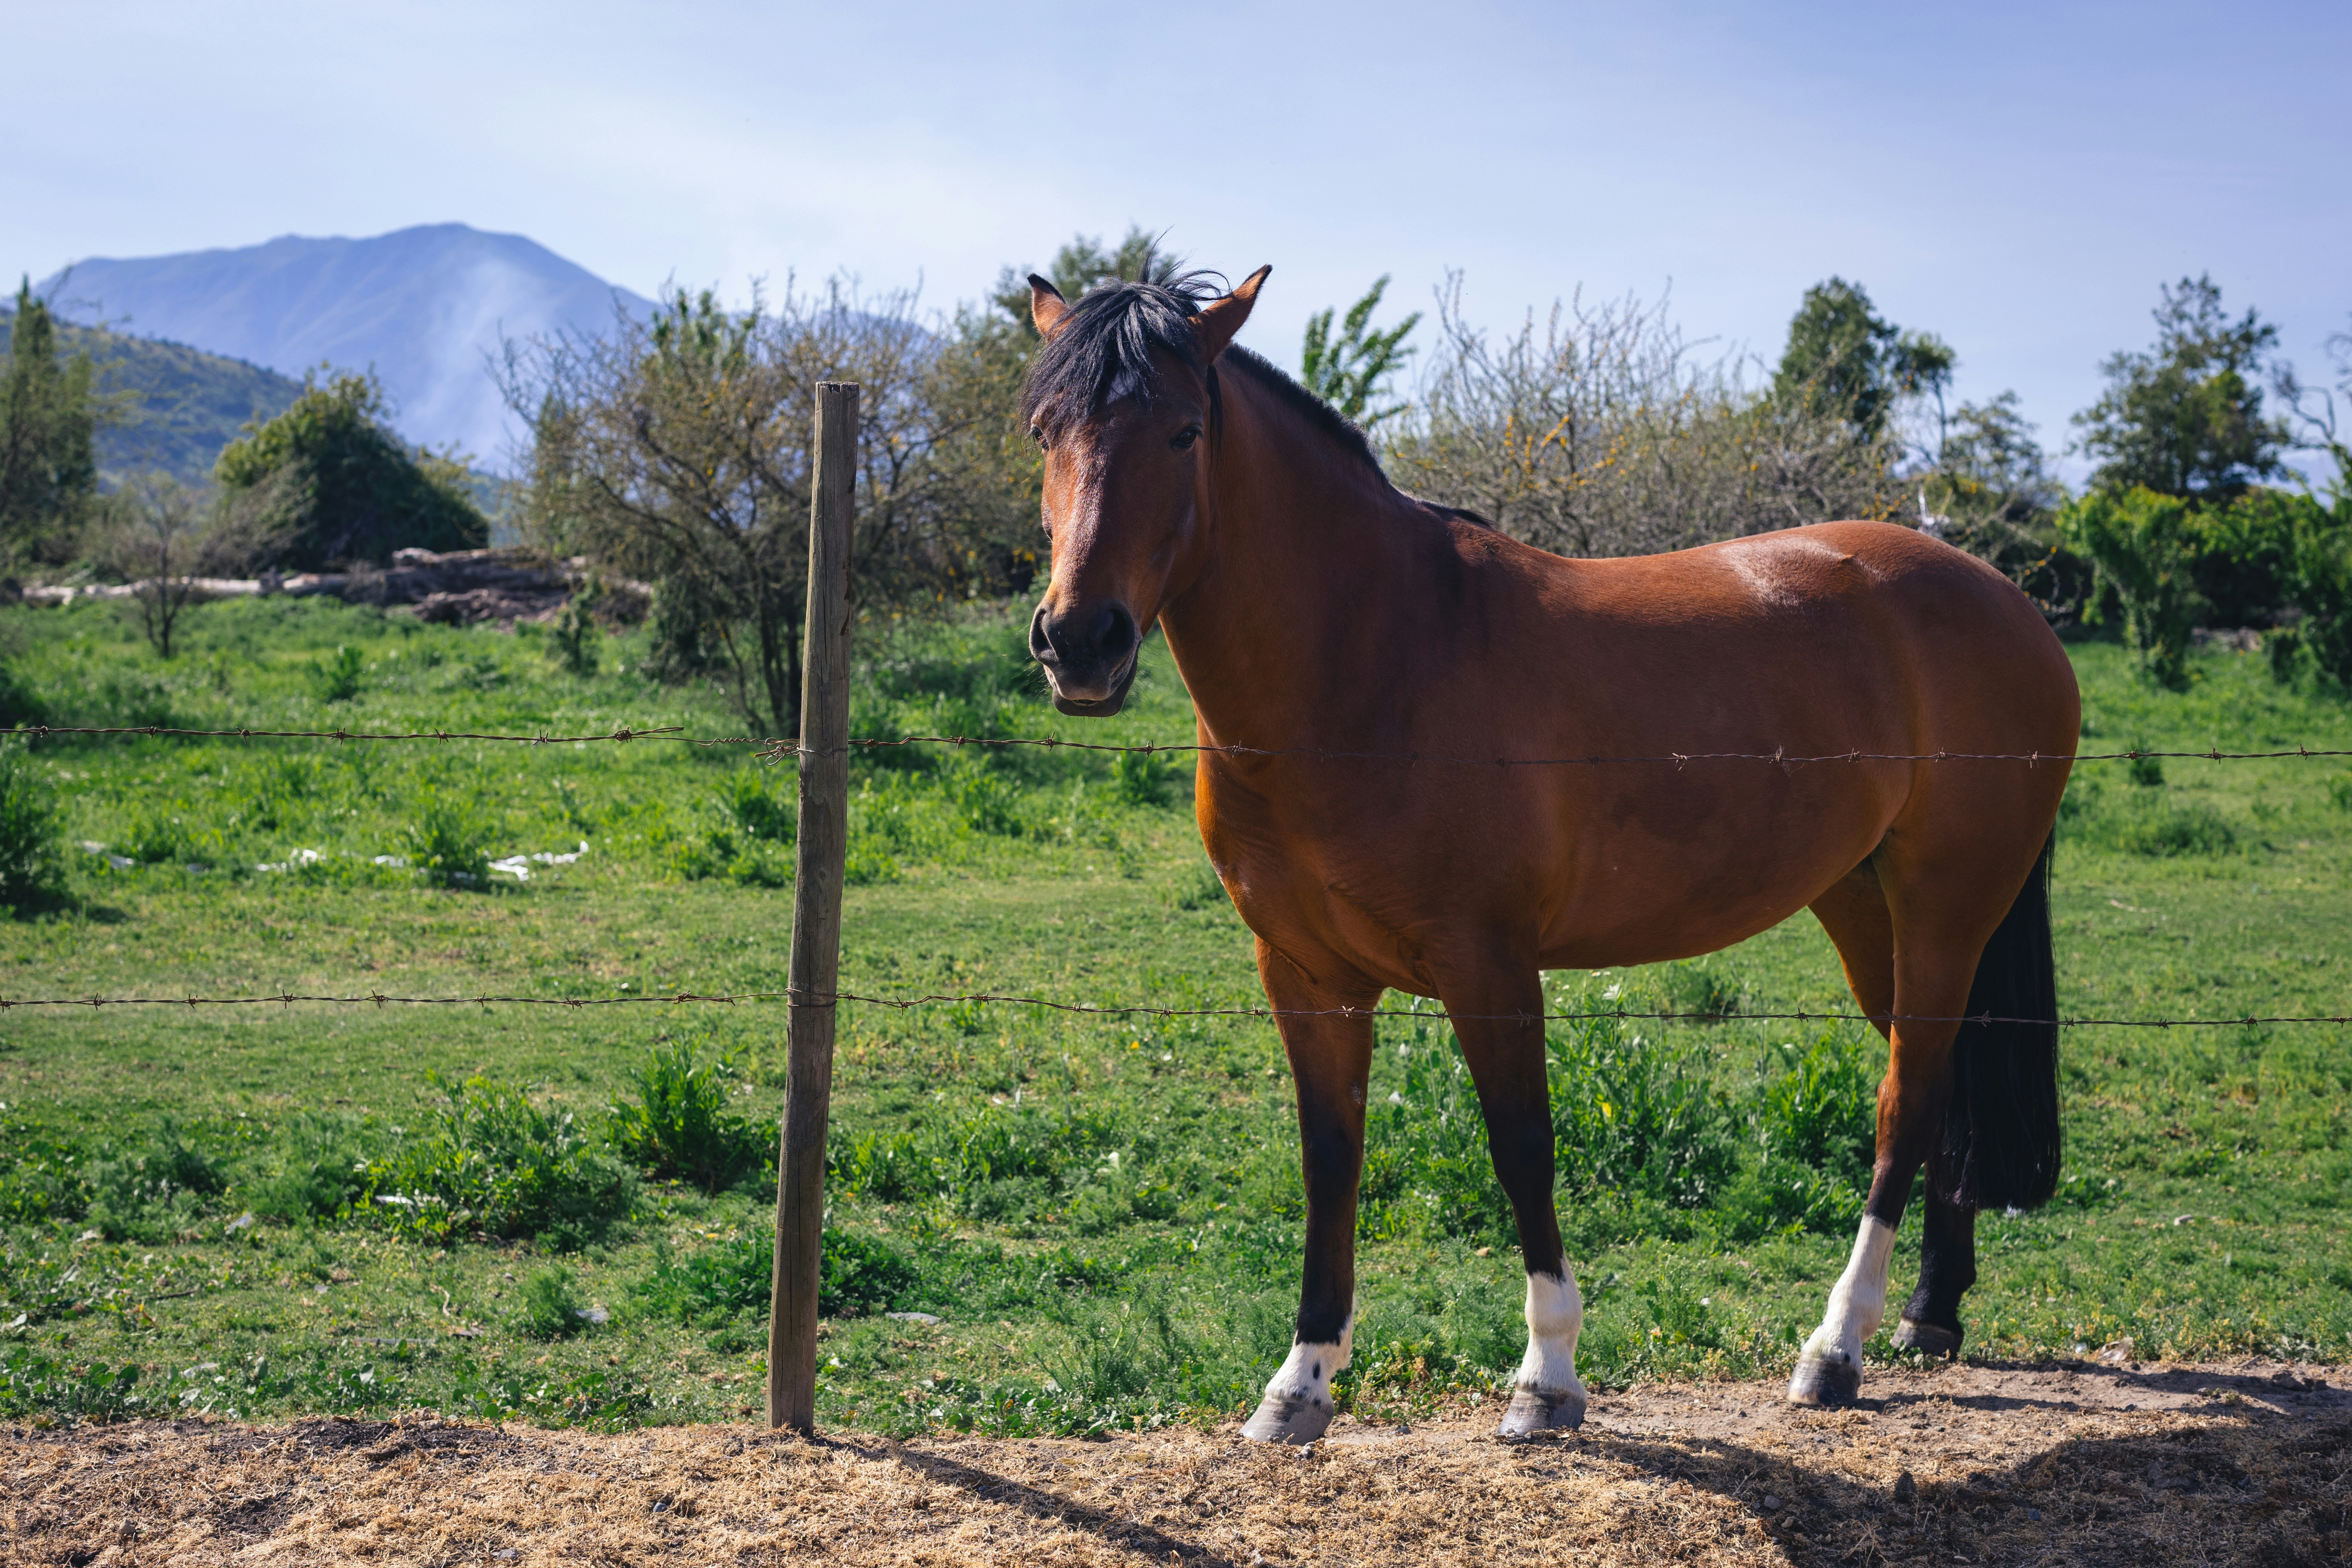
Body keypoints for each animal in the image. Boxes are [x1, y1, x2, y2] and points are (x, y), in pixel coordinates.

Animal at [1017, 264, 2078, 1442]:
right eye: (1045, 431)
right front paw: (1302, 1380)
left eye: (1184, 431)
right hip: (1863, 903)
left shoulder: (1487, 961)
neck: (1374, 656)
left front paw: (1548, 1375)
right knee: (1939, 1086)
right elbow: (1330, 1157)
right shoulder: (1304, 971)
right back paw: (1930, 1315)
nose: (1081, 641)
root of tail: (2004, 598)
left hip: (1946, 906)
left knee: (1907, 1099)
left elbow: (1522, 1145)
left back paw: (1835, 1347)